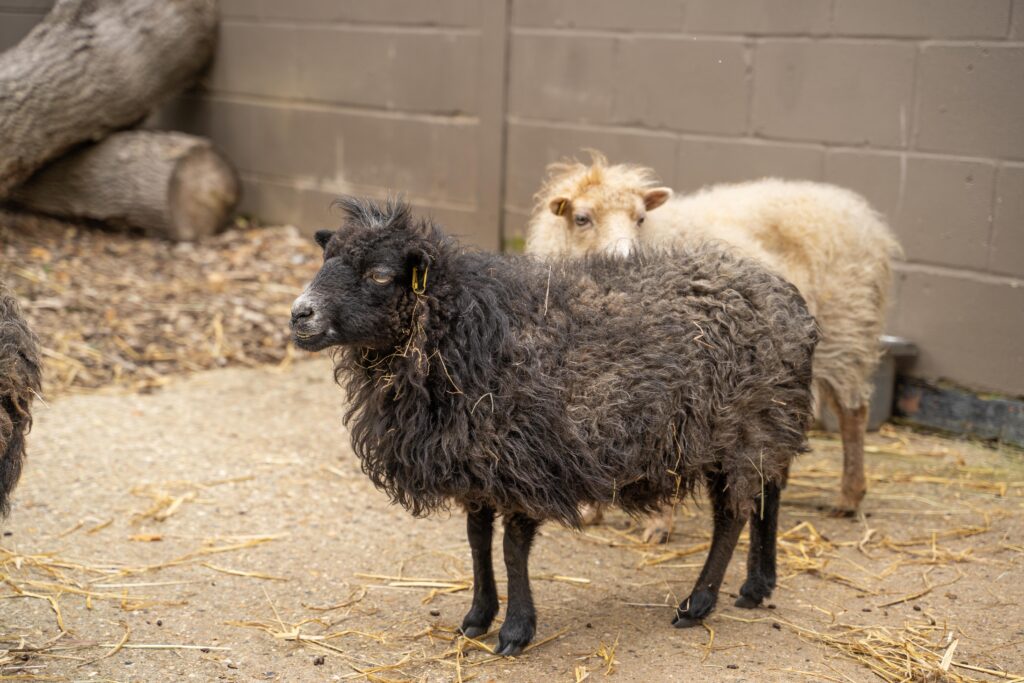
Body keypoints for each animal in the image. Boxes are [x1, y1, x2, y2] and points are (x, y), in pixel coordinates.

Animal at [290, 196, 818, 654]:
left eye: (379, 274)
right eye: (326, 259)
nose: (299, 315)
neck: (462, 327)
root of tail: (789, 297)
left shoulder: (529, 458)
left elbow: (512, 548)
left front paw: (515, 631)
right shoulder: (478, 462)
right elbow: (477, 539)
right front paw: (477, 617)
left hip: (741, 430)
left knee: (732, 514)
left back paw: (698, 603)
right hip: (767, 427)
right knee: (770, 493)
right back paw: (756, 586)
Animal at [526, 152, 901, 538]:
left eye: (640, 218)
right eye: (582, 218)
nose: (624, 257)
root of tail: (856, 210)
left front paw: (659, 524)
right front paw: (591, 510)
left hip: (848, 326)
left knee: (852, 412)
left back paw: (849, 495)